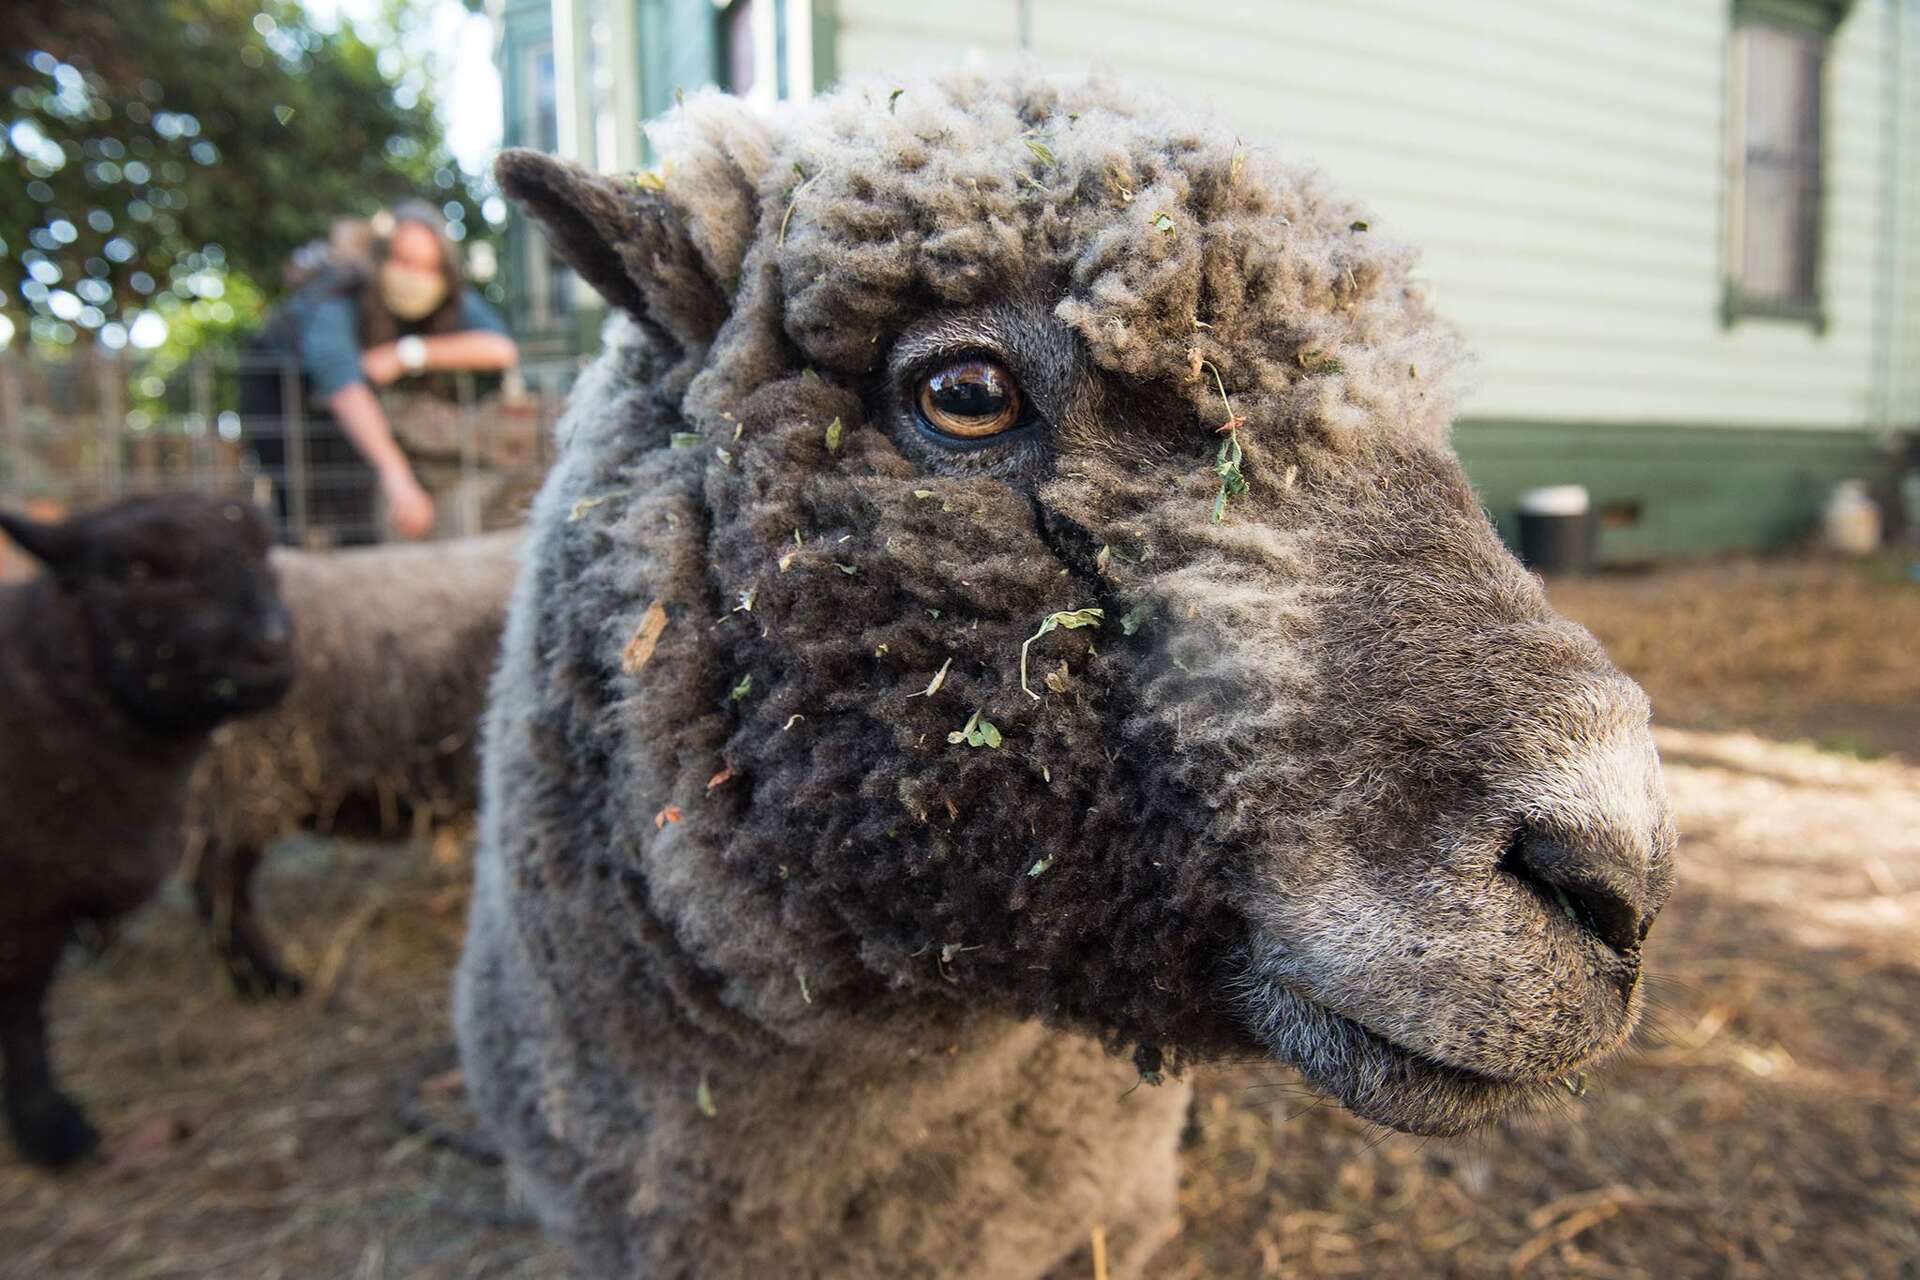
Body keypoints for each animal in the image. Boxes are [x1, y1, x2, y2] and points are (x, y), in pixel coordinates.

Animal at [0, 493, 293, 1169]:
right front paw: (50, 1129)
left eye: (263, 555)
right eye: (134, 570)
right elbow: (21, 1015)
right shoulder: (24, 902)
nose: (274, 645)